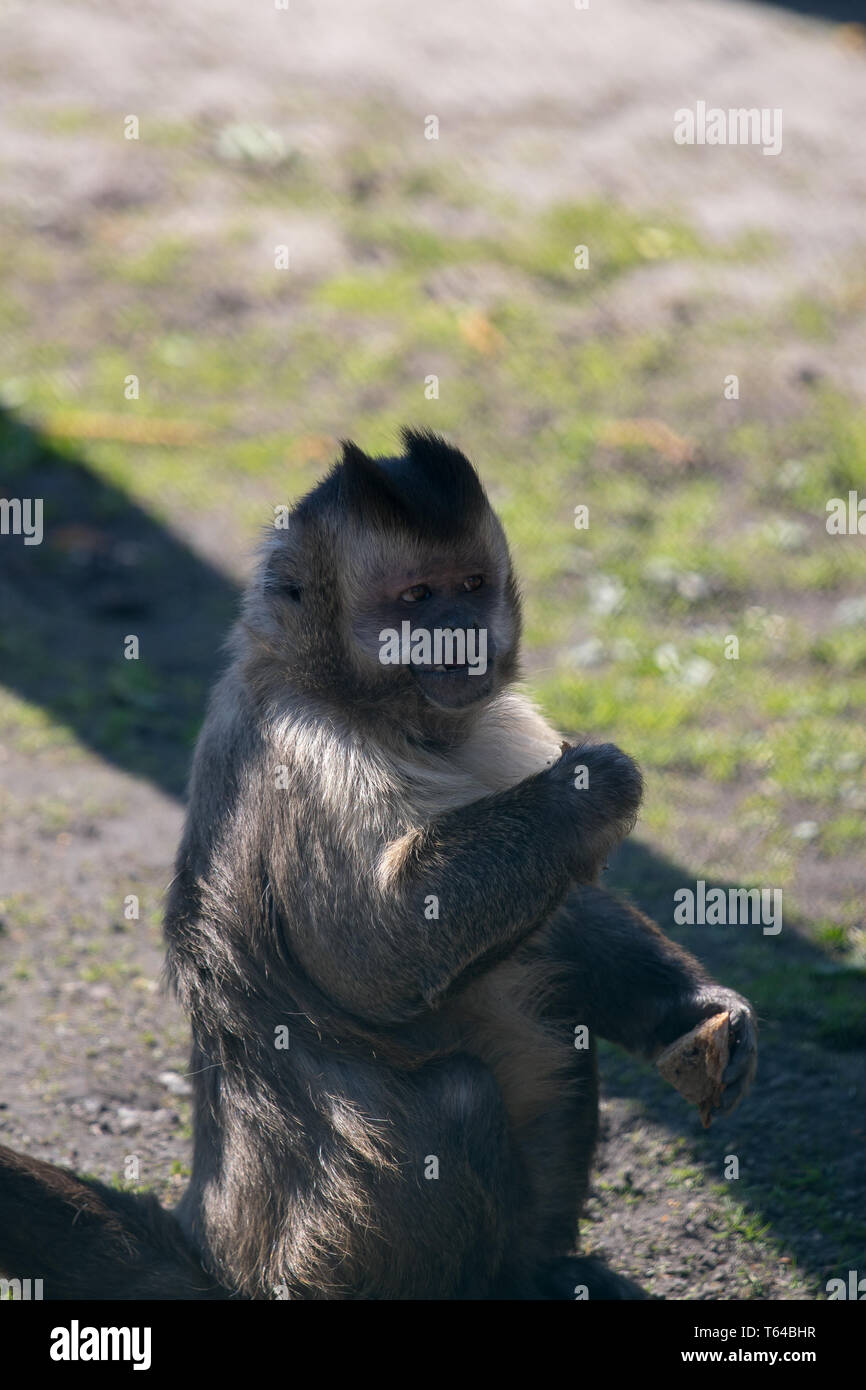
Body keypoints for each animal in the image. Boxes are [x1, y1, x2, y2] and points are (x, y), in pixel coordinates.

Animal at [0, 429, 757, 1299]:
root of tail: (221, 1246)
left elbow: (563, 920)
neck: (393, 717)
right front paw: (592, 788)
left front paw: (697, 1011)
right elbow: (372, 958)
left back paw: (542, 1268)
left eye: (469, 586)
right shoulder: (306, 748)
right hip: (331, 1248)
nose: (460, 627)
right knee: (456, 1097)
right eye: (415, 598)